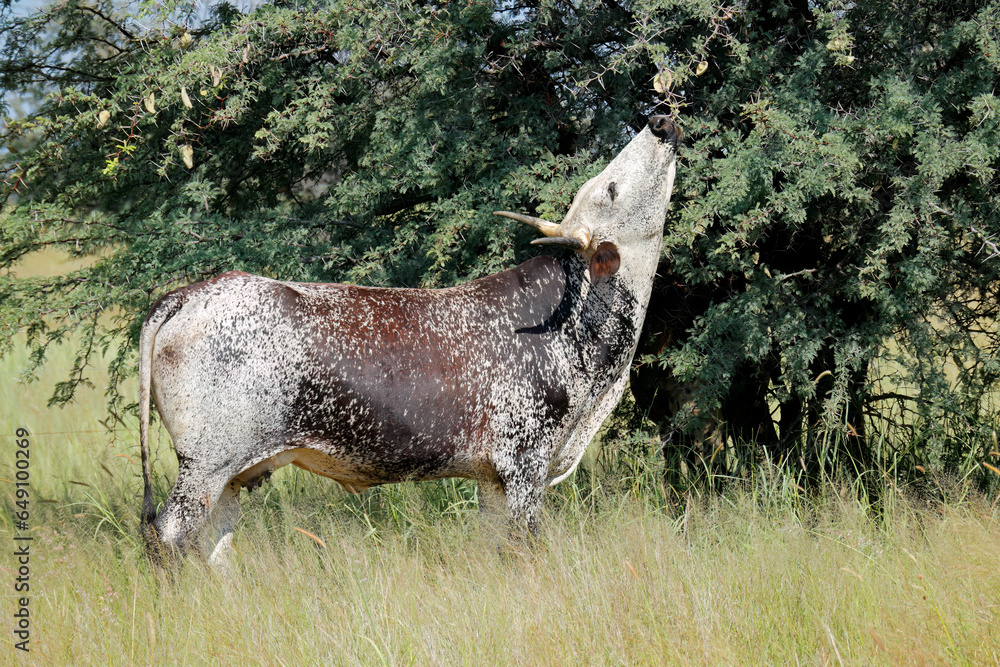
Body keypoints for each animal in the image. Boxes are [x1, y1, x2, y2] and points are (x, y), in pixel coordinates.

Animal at [138, 116, 680, 565]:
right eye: (611, 188)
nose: (661, 122)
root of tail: (191, 293)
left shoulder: (492, 478)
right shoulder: (524, 463)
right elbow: (525, 546)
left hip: (228, 476)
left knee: (215, 548)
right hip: (204, 466)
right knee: (166, 537)